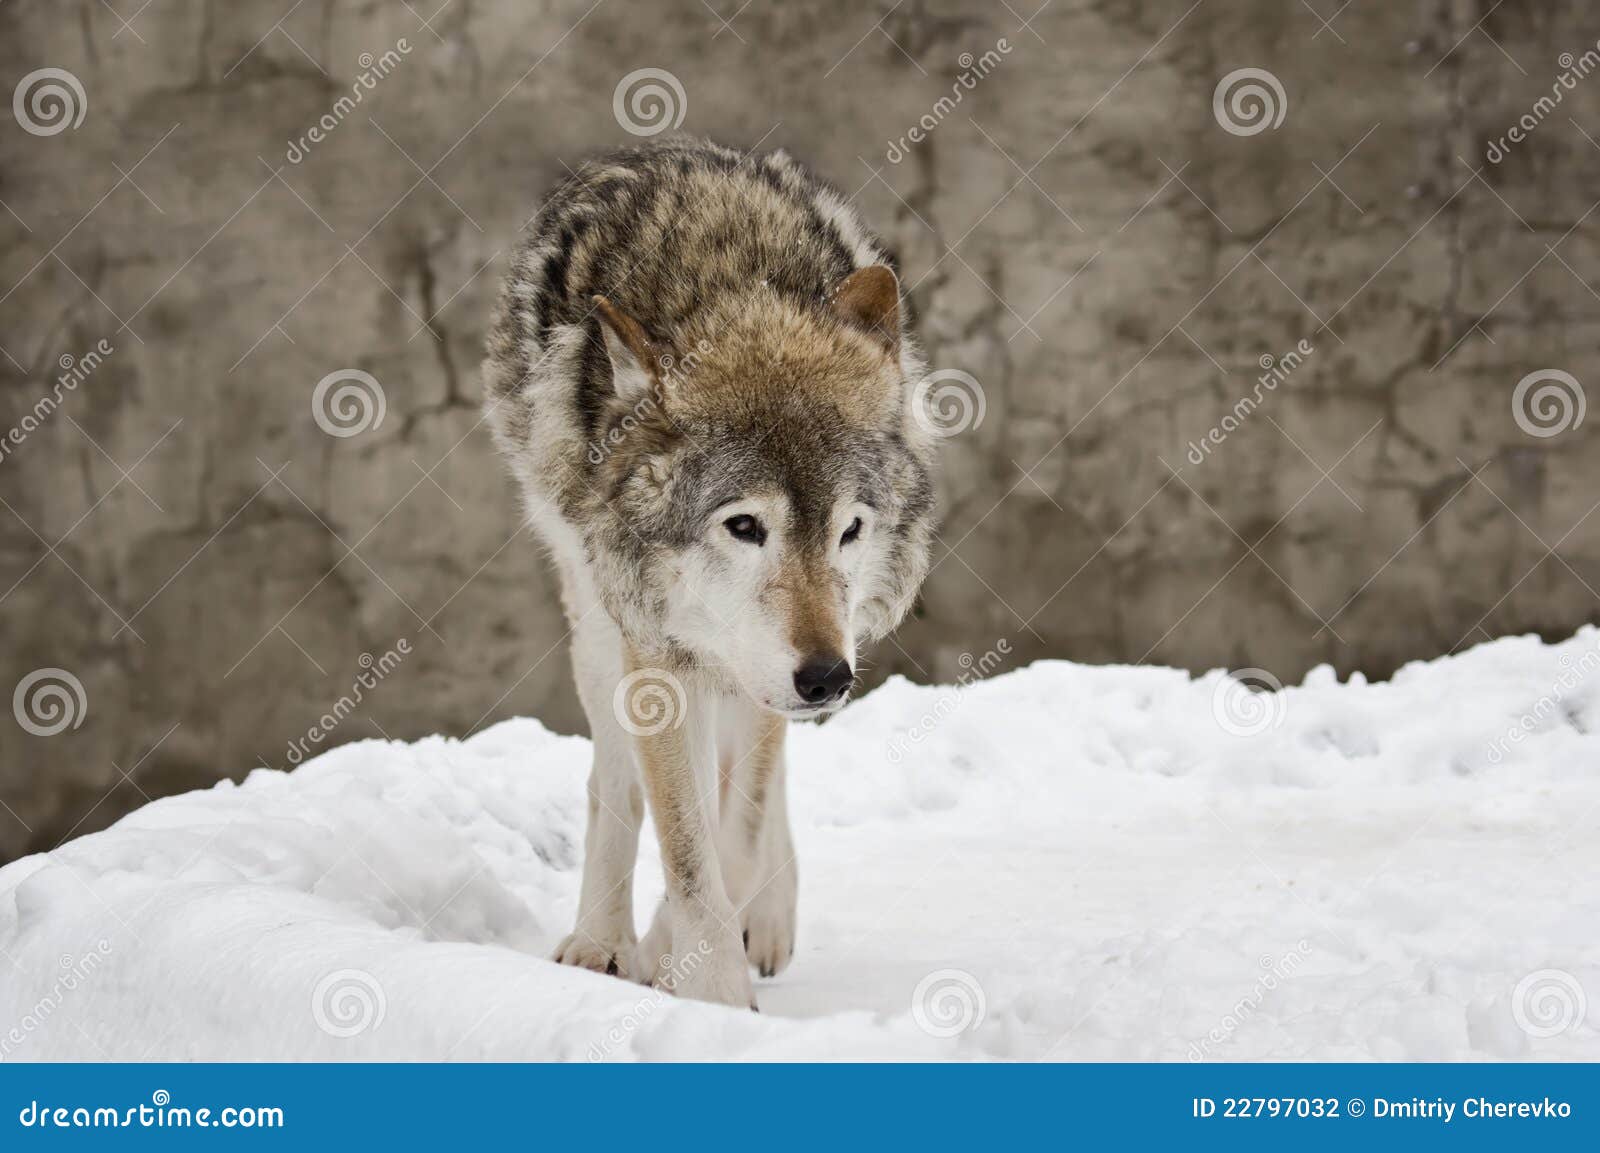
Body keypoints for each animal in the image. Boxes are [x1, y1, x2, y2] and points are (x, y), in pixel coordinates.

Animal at [482, 139, 937, 1009]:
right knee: (616, 783)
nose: (827, 678)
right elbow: (684, 838)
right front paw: (713, 992)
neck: (731, 286)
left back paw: (761, 915)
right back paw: (601, 940)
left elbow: (740, 821)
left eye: (849, 529)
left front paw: (684, 948)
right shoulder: (659, 648)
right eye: (744, 526)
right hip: (599, 619)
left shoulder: (766, 668)